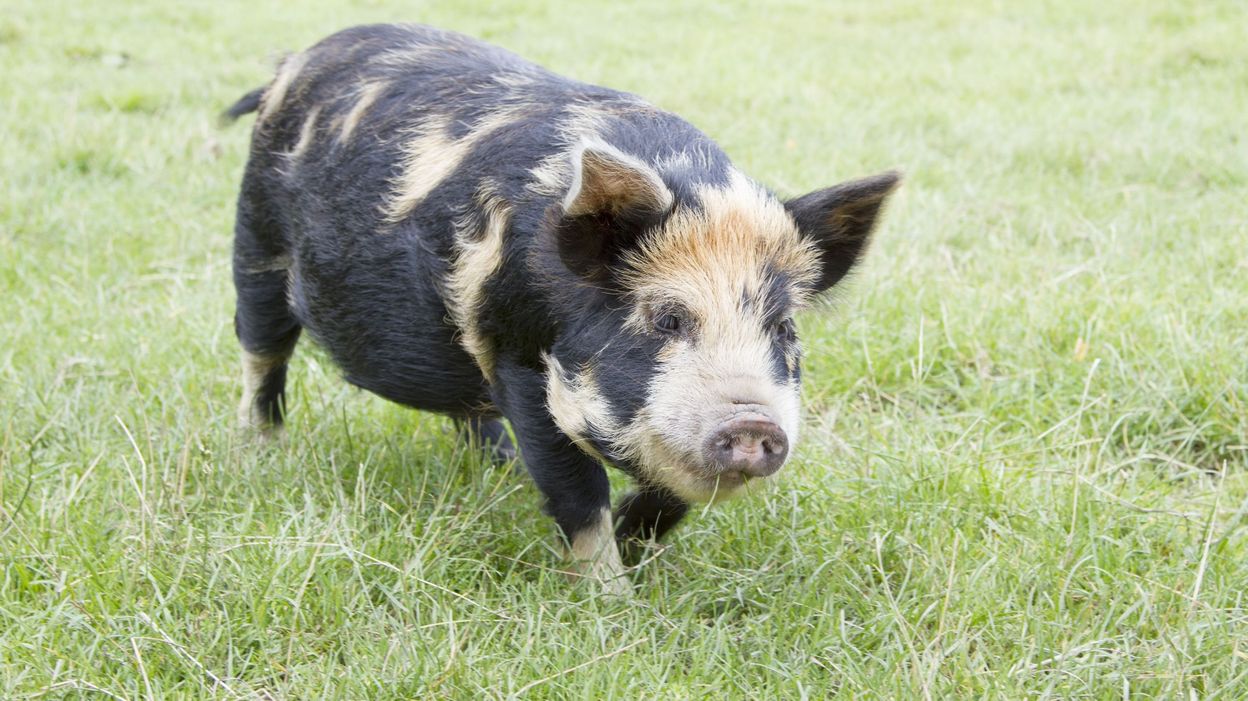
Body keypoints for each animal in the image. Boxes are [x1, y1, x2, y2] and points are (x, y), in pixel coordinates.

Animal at [224, 23, 899, 594]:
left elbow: (670, 494)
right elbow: (576, 489)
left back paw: (500, 469)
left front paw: (633, 546)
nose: (754, 423)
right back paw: (262, 450)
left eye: (781, 328)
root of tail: (292, 64)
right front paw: (612, 600)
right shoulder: (520, 358)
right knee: (261, 352)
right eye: (668, 318)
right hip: (255, 241)